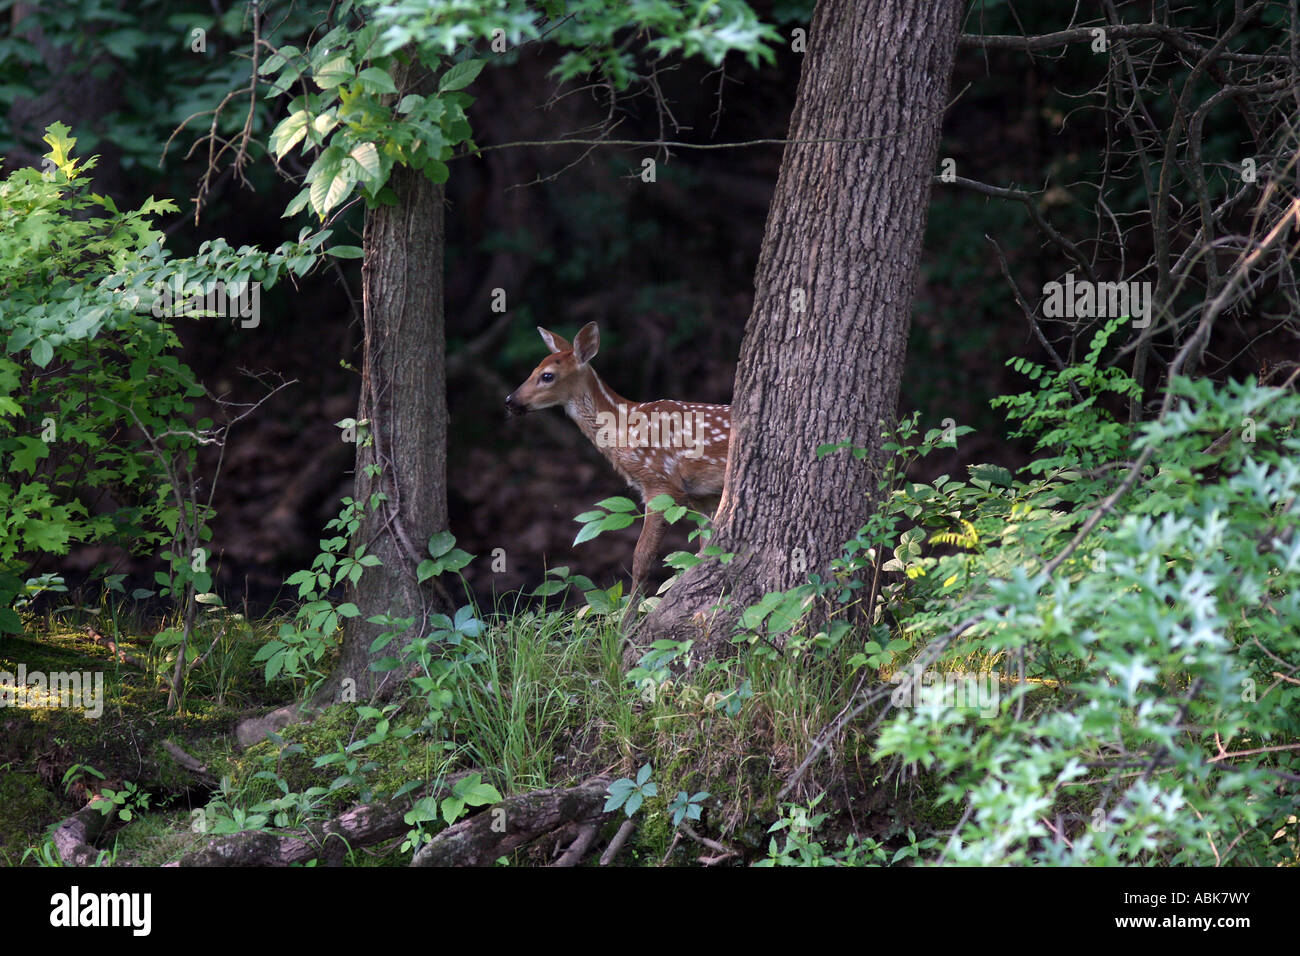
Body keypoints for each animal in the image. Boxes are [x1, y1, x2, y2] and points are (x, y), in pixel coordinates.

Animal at [505, 322, 731, 625]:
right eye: (532, 369)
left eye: (547, 375)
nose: (510, 400)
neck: (624, 426)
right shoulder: (701, 494)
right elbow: (704, 549)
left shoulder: (660, 482)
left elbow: (641, 558)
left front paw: (626, 625)